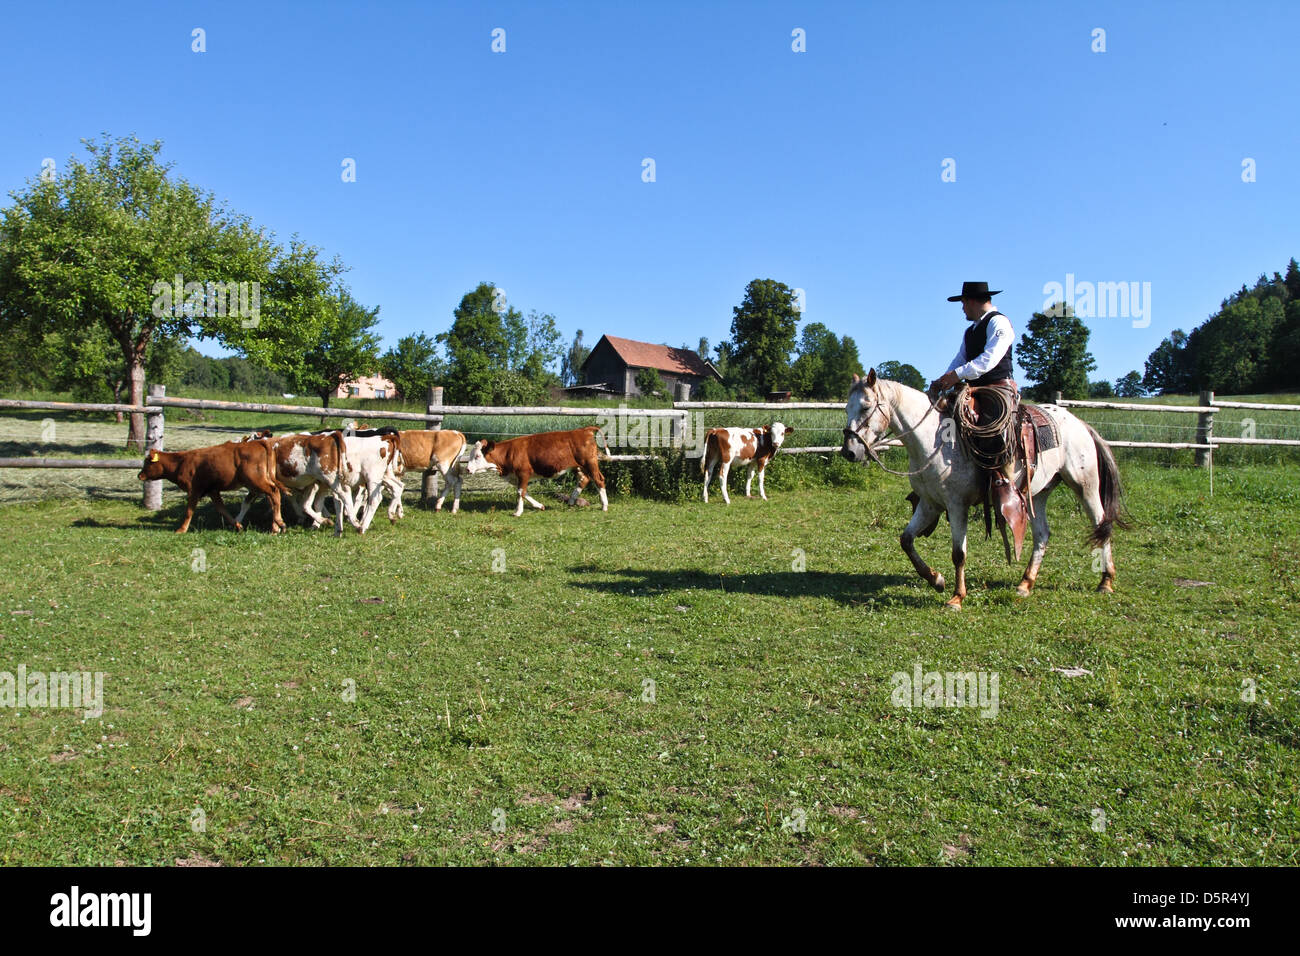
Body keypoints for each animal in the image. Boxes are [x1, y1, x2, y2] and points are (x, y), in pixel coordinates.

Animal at [138, 440, 287, 534]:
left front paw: (181, 529)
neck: (181, 462)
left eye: (147, 462)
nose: (139, 475)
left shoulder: (194, 490)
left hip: (255, 480)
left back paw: (280, 523)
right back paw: (276, 526)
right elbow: (222, 510)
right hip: (258, 482)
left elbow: (189, 511)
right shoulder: (212, 491)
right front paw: (238, 525)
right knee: (273, 498)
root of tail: (258, 443)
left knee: (274, 492)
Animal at [464, 426, 609, 517]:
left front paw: (518, 512)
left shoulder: (523, 472)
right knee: (584, 479)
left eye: (477, 456)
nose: (468, 469)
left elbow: (520, 492)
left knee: (599, 480)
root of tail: (584, 430)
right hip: (578, 466)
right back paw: (572, 501)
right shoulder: (516, 477)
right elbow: (524, 492)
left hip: (590, 463)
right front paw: (539, 506)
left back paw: (604, 506)